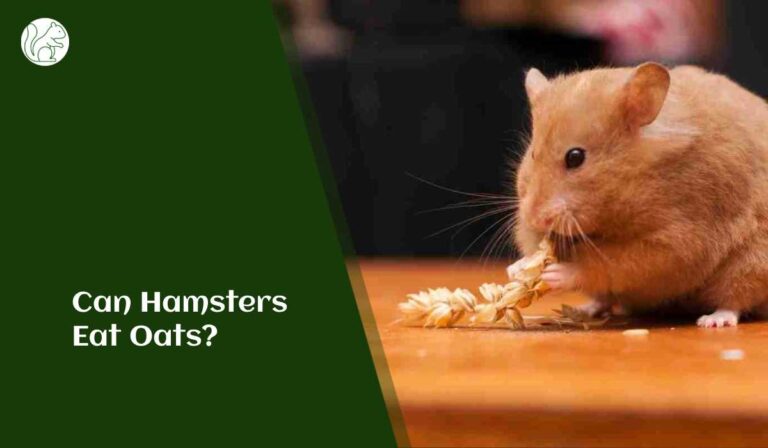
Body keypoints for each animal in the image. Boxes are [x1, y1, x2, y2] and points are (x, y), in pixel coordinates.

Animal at [513, 62, 768, 328]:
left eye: (575, 157)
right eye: (533, 154)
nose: (535, 219)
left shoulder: (676, 238)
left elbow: (610, 265)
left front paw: (555, 272)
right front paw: (517, 268)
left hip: (752, 262)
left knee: (736, 298)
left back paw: (712, 320)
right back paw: (585, 309)